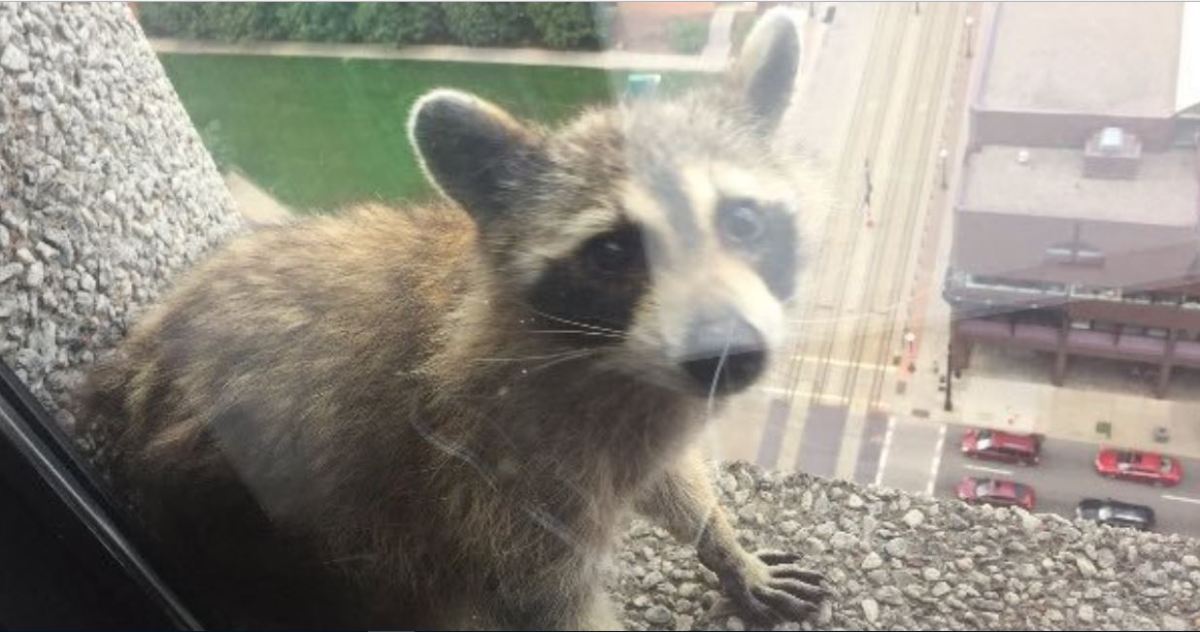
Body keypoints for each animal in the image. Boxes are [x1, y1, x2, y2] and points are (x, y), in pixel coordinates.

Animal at [77, 9, 825, 630]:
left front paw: (720, 541)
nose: (726, 356)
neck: (608, 359)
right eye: (613, 253)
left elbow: (671, 479)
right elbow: (548, 603)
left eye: (742, 221)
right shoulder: (492, 475)